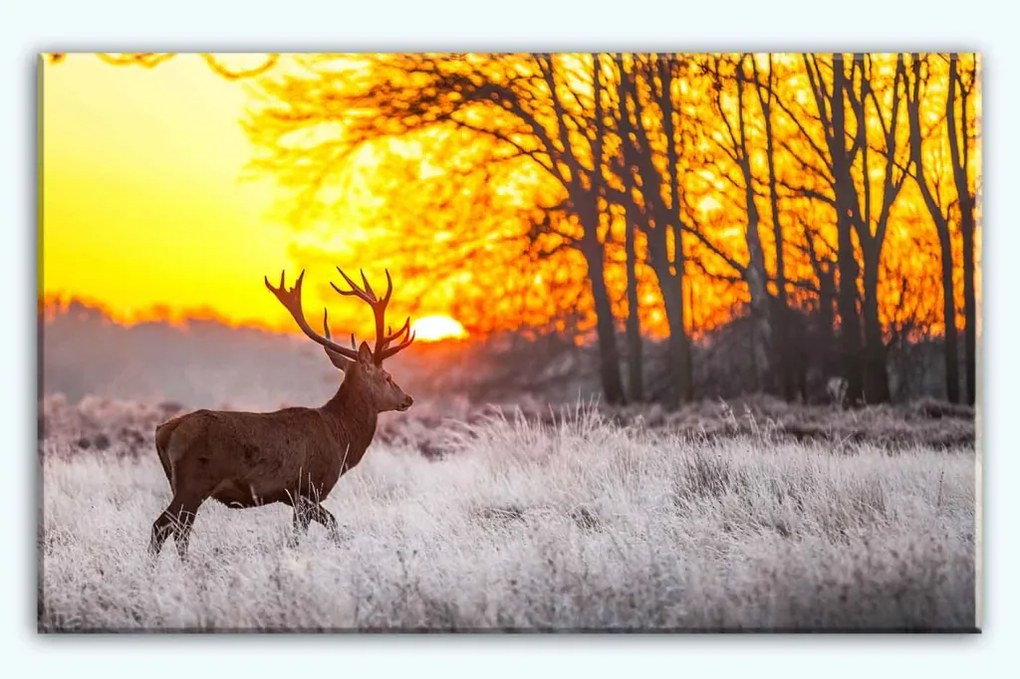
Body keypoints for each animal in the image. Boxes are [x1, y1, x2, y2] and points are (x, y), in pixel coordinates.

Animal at [146, 267, 414, 558]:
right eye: (387, 377)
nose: (407, 398)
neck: (340, 438)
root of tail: (164, 431)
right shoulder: (307, 488)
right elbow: (329, 525)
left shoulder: (296, 497)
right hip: (194, 482)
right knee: (164, 527)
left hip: (180, 484)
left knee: (178, 530)